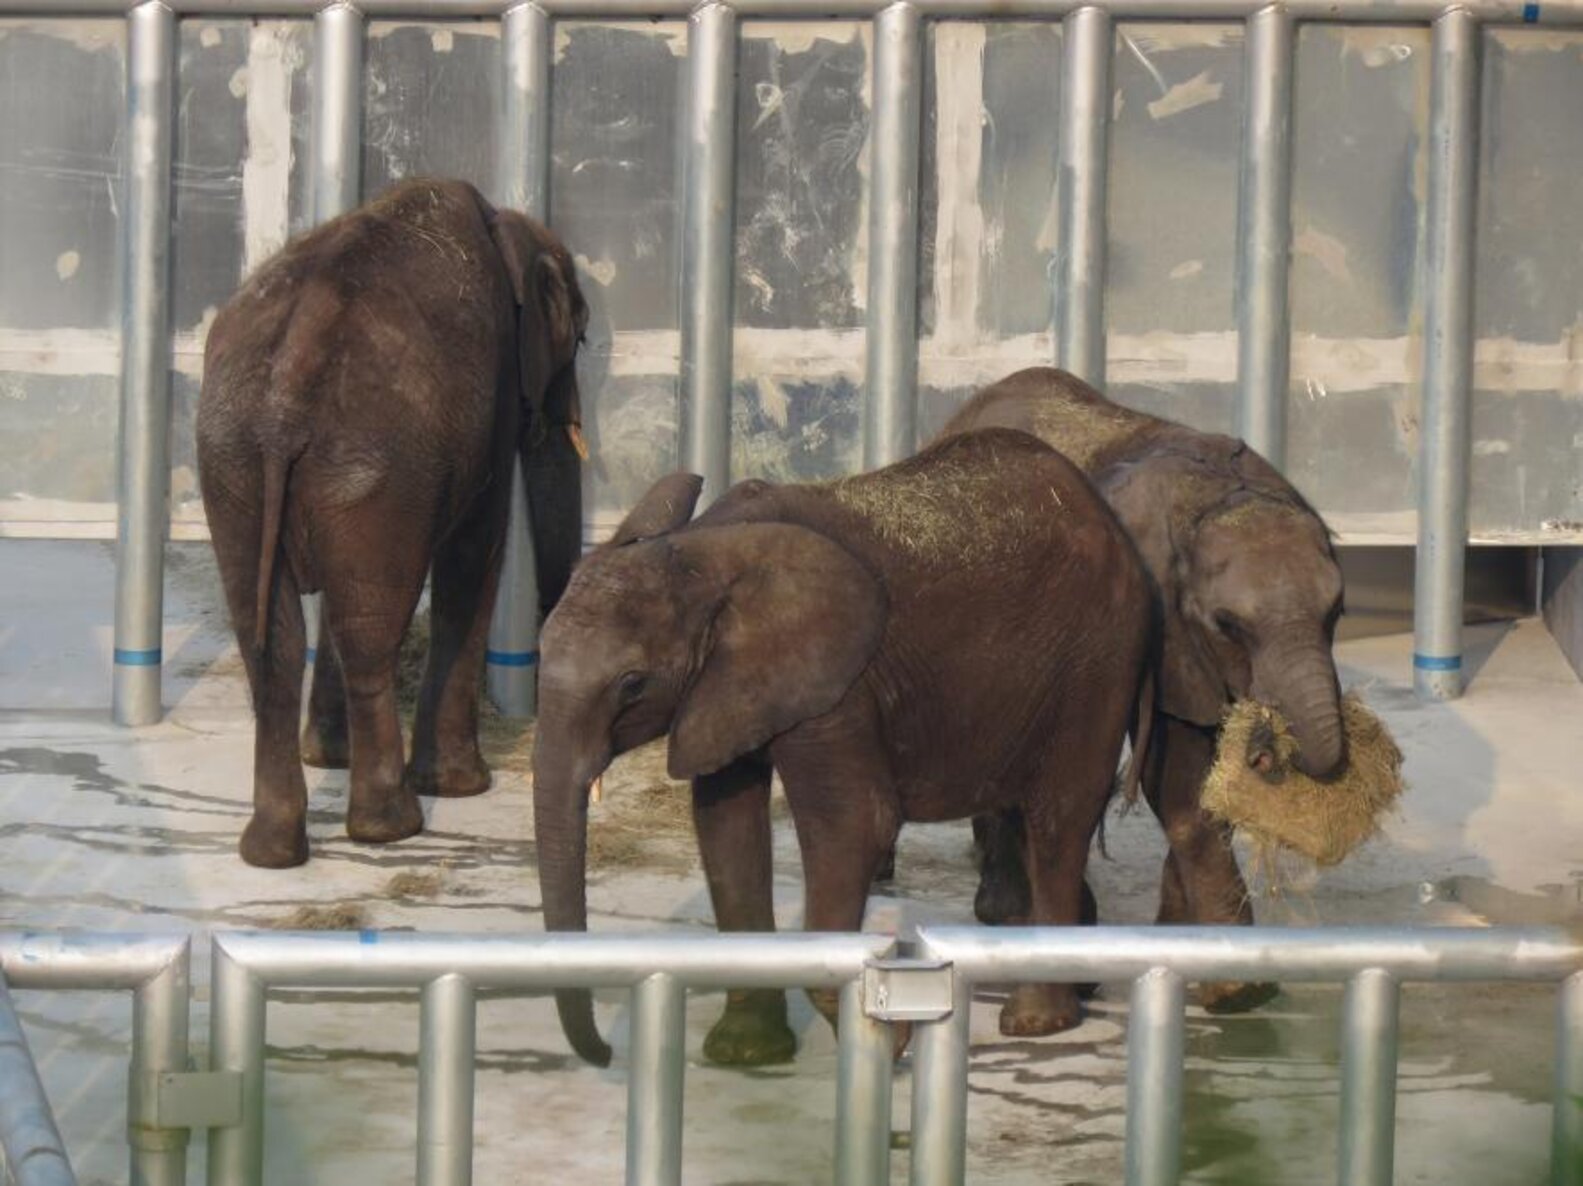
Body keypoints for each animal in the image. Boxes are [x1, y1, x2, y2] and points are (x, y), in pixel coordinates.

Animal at [197, 177, 589, 869]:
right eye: (581, 335)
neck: (504, 224)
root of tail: (286, 389)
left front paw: (328, 756)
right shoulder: (493, 396)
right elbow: (475, 549)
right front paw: (461, 787)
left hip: (238, 464)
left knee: (271, 635)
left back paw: (272, 850)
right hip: (371, 466)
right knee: (368, 629)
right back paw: (391, 826)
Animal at [532, 428, 1157, 1067]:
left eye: (632, 684)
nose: (607, 1054)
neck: (701, 549)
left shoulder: (840, 676)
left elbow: (853, 825)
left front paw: (892, 1030)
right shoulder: (730, 685)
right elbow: (726, 829)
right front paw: (745, 1053)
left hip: (1098, 659)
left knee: (1059, 816)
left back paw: (1035, 1020)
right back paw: (1078, 983)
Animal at [934, 367, 1346, 1013]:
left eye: (1337, 612)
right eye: (1229, 625)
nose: (1264, 749)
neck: (1215, 499)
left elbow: (1201, 775)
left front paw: (1182, 942)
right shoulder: (1159, 619)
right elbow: (1174, 775)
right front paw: (1238, 991)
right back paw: (1011, 918)